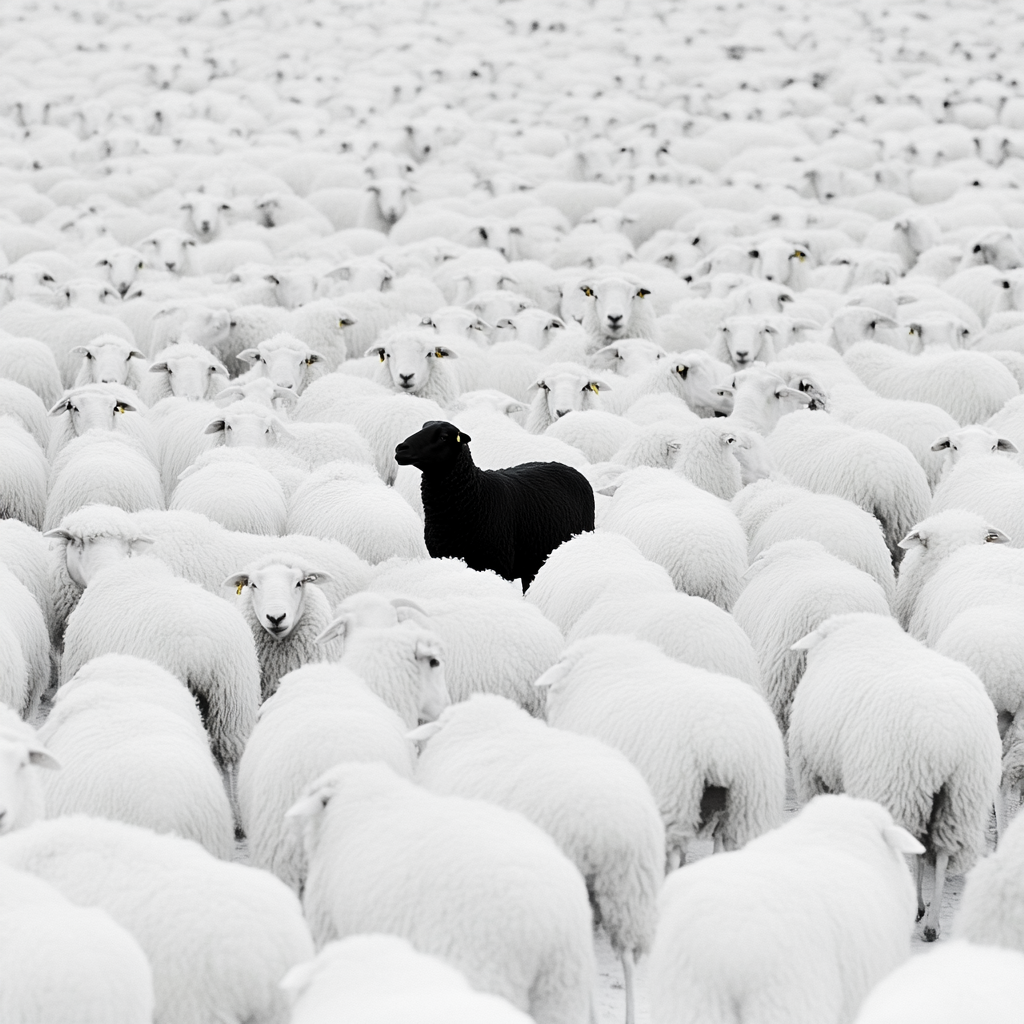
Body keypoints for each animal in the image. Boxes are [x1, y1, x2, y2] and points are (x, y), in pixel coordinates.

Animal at [395, 420, 595, 591]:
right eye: (423, 427)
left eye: (443, 437)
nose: (400, 449)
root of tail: (572, 470)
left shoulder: (496, 565)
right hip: (532, 562)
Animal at [789, 613, 1002, 941]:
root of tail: (948, 735)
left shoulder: (815, 776)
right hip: (961, 796)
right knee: (939, 852)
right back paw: (930, 922)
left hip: (898, 785)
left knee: (905, 848)